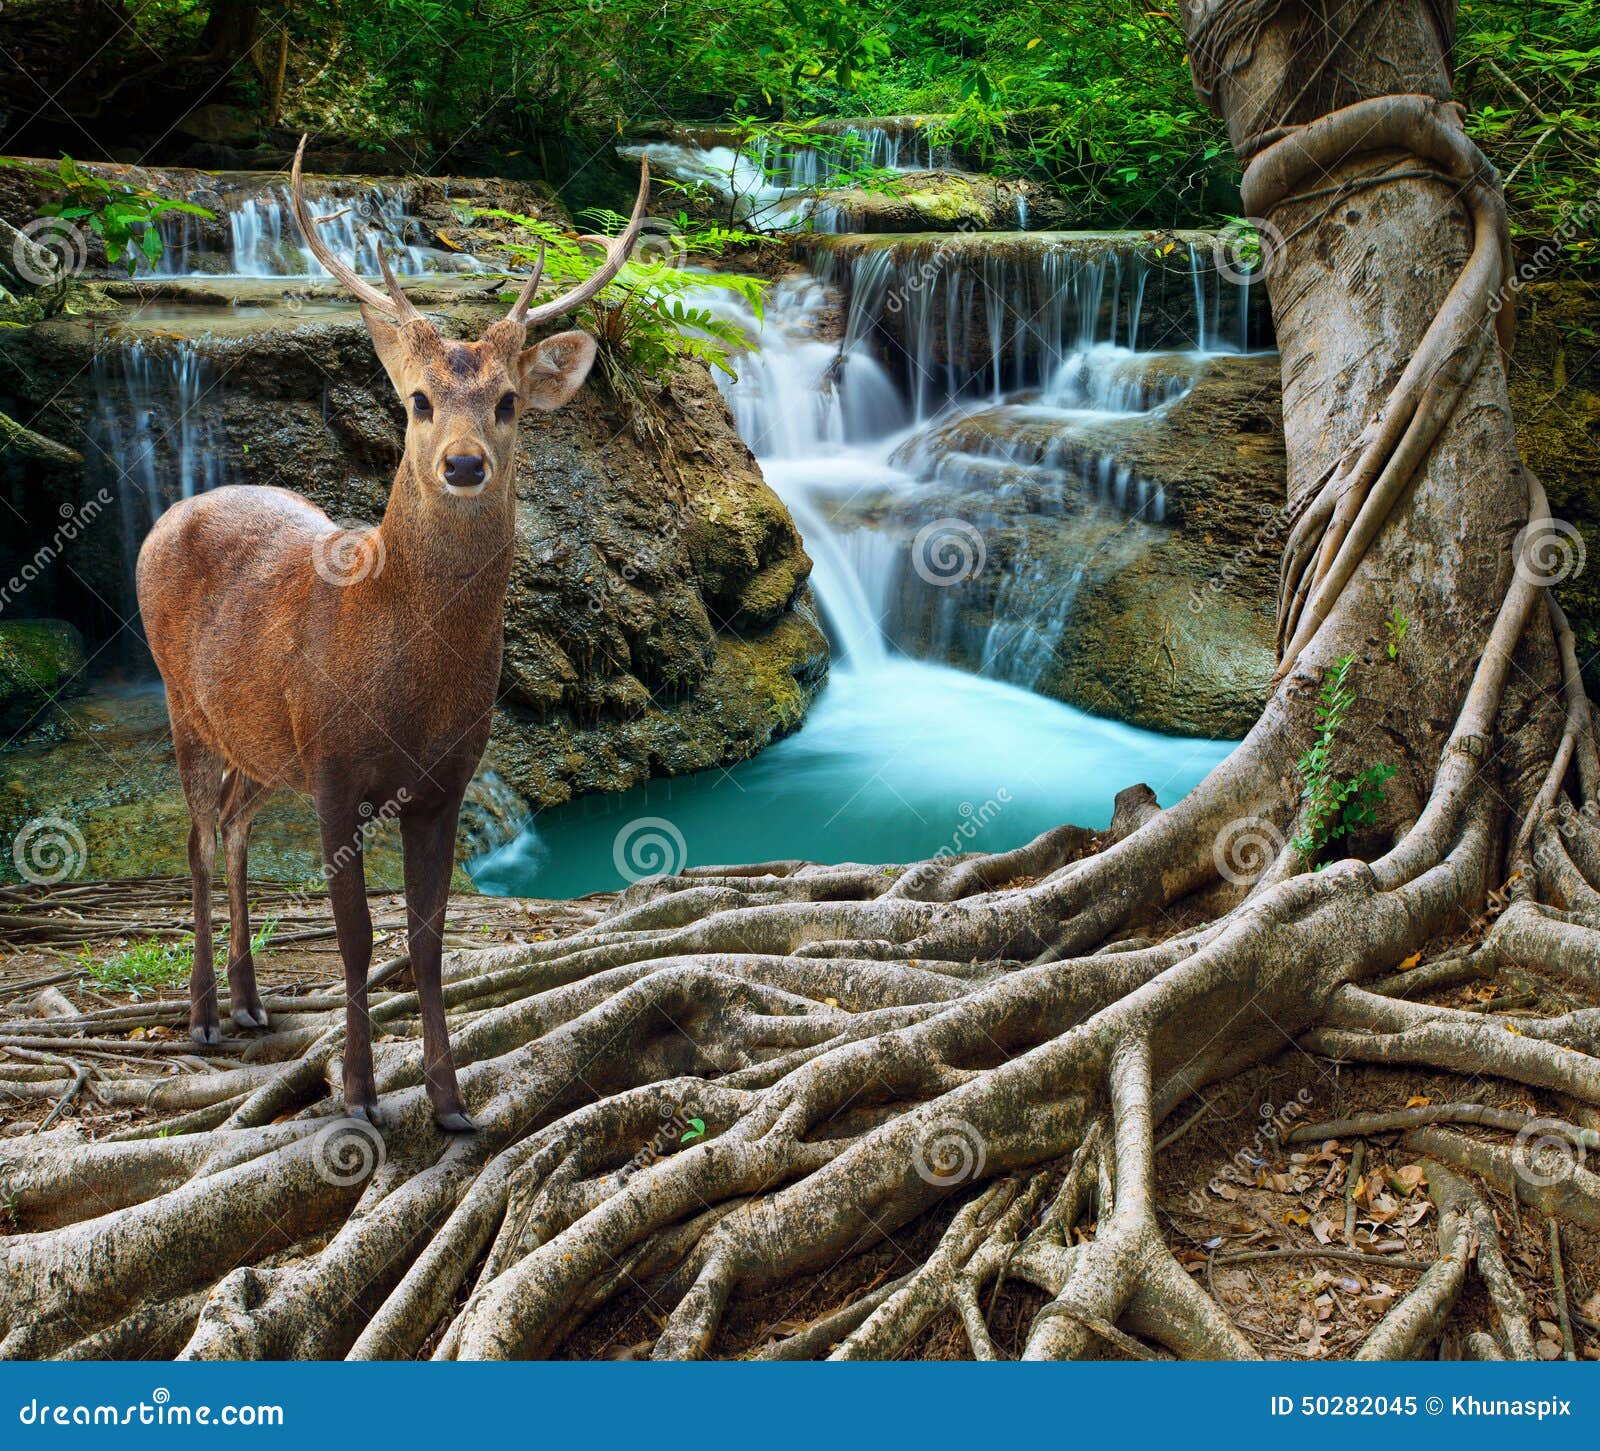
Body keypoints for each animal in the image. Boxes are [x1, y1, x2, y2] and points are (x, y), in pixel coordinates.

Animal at [136, 137, 648, 1131]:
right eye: (414, 400)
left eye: (509, 401)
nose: (463, 464)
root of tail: (167, 513)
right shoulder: (335, 766)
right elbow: (355, 934)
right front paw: (362, 1094)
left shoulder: (445, 779)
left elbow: (428, 935)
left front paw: (451, 1100)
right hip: (183, 701)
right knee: (197, 838)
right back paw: (206, 1015)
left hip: (263, 740)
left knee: (235, 822)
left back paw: (253, 1002)